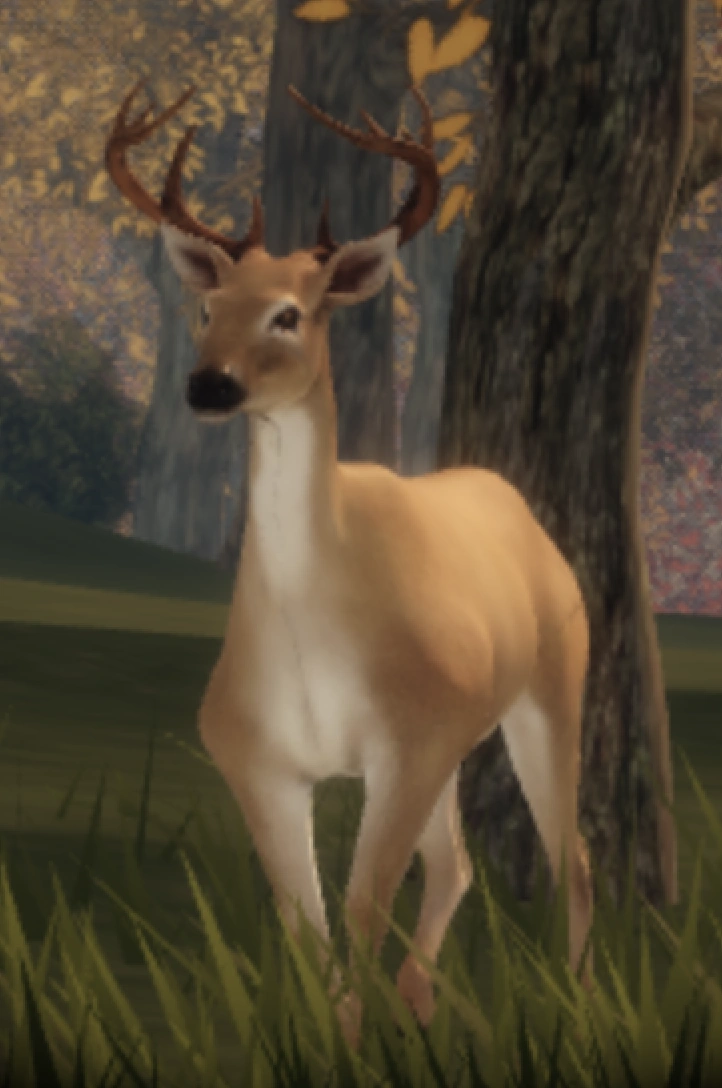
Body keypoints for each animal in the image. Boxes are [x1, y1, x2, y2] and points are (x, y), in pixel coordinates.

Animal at [105, 79, 594, 1048]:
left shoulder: (407, 738)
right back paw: (426, 1005)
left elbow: (363, 911)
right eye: (207, 310)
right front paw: (318, 1039)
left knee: (575, 856)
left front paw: (351, 1045)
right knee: (459, 868)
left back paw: (576, 1009)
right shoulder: (254, 756)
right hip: (457, 736)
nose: (207, 384)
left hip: (551, 686)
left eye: (291, 314)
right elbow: (307, 924)